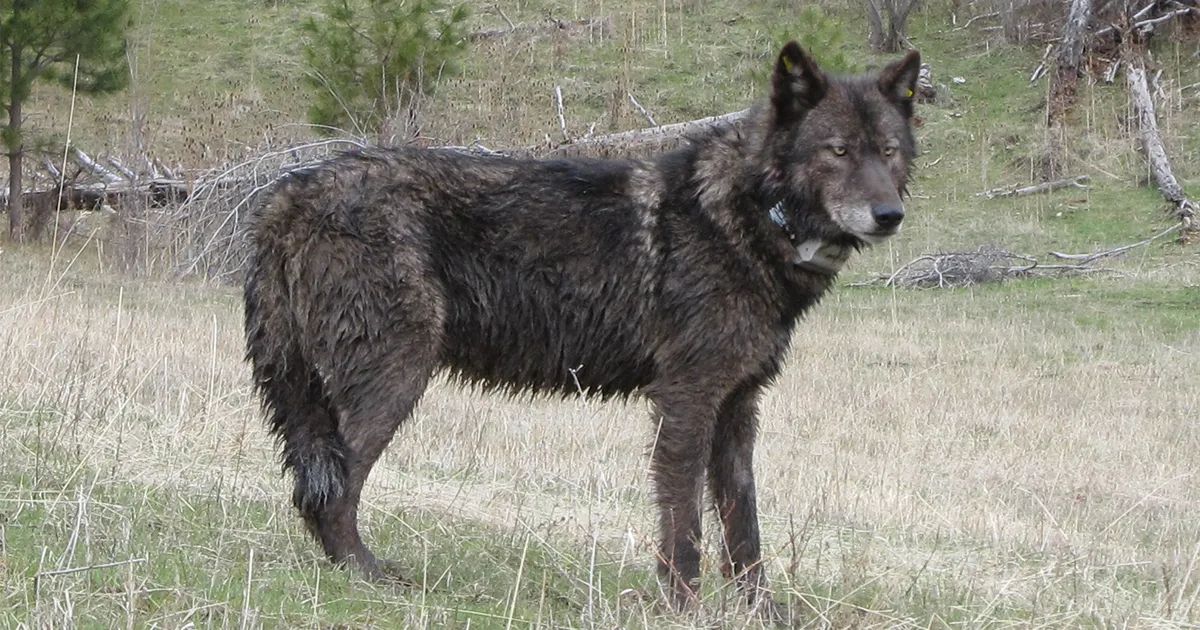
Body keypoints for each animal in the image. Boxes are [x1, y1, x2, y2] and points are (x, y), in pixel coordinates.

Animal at [243, 42, 920, 608]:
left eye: (887, 152)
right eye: (838, 151)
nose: (890, 215)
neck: (750, 214)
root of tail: (290, 191)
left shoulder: (738, 406)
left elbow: (744, 531)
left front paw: (761, 613)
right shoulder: (686, 399)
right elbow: (684, 525)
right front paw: (683, 608)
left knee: (314, 488)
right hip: (394, 383)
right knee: (329, 492)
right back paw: (369, 577)